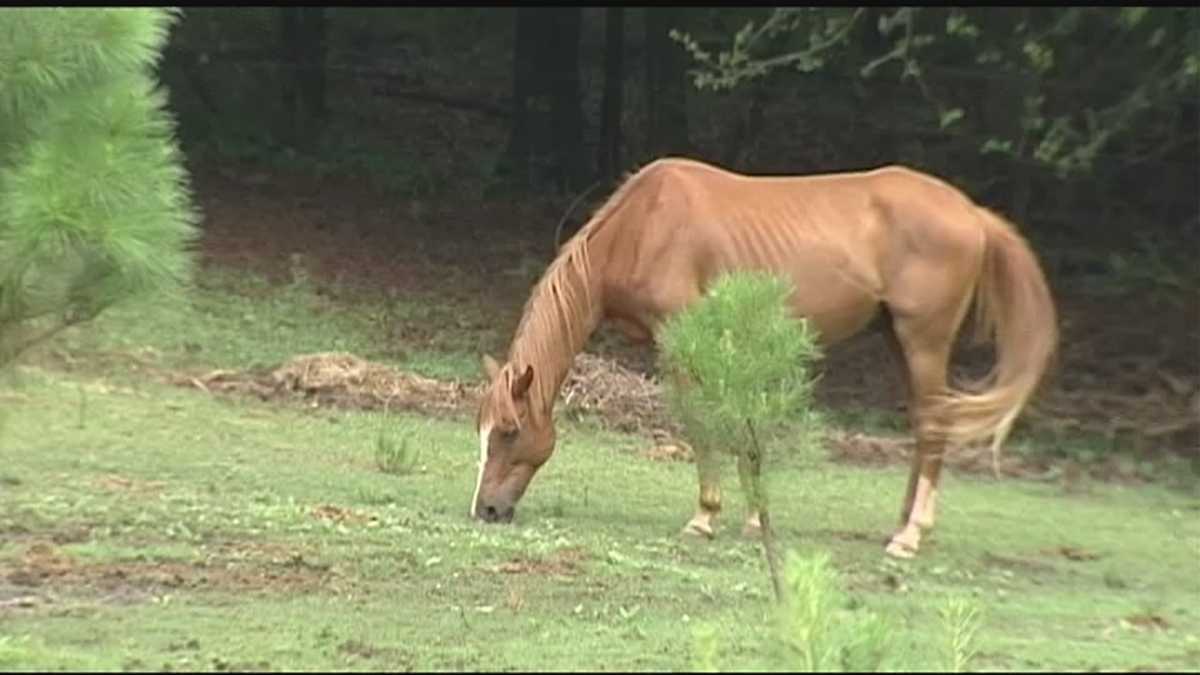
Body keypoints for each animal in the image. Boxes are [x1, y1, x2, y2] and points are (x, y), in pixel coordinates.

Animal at [470, 157, 1058, 559]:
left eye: (508, 431)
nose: (485, 510)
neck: (643, 227)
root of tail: (973, 214)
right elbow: (741, 429)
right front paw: (753, 519)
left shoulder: (680, 341)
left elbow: (703, 424)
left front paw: (705, 517)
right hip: (900, 339)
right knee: (922, 424)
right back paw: (900, 525)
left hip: (925, 341)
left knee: (935, 425)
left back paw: (911, 536)